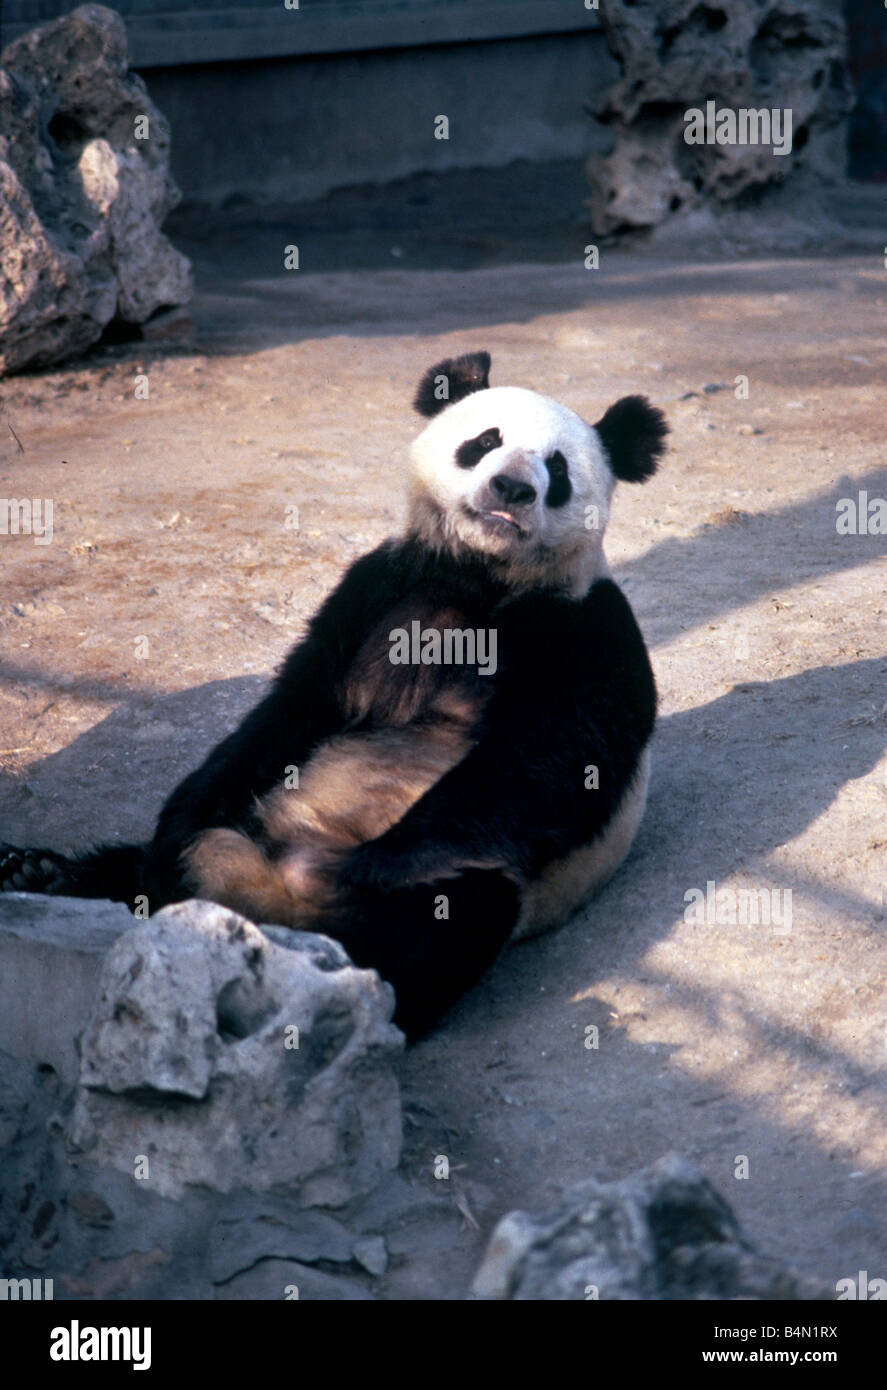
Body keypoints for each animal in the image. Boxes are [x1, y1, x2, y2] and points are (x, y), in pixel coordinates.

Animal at [0, 352, 666, 1039]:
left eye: (557, 469)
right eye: (486, 442)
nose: (511, 489)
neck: (480, 579)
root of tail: (259, 887)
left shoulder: (585, 629)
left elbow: (551, 763)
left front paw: (362, 866)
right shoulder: (380, 589)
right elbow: (293, 707)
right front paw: (178, 819)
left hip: (477, 881)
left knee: (439, 924)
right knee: (139, 871)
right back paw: (43, 872)